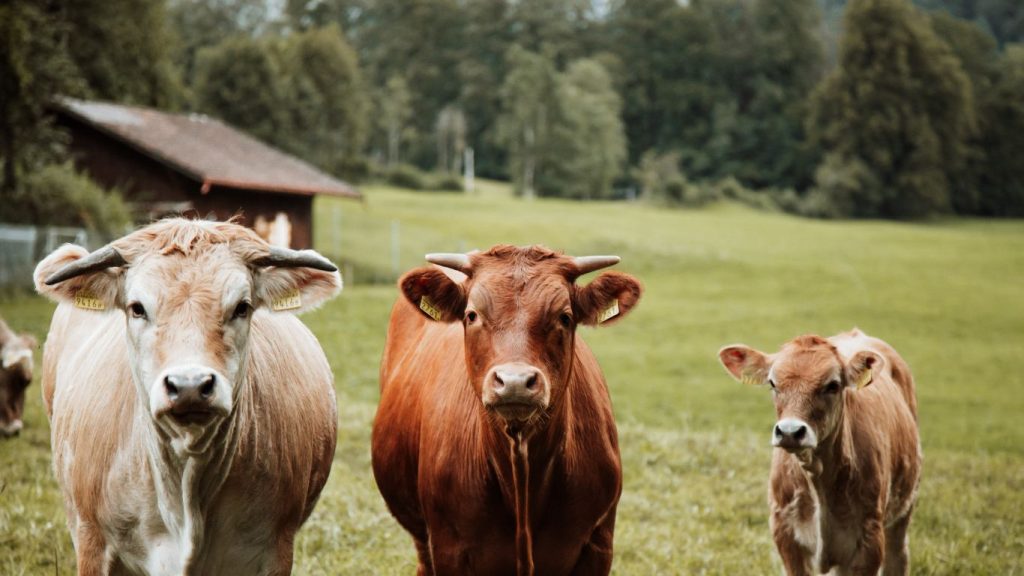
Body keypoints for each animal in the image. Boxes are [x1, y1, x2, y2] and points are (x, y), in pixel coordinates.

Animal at [718, 329, 922, 576]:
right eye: (773, 384)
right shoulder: (785, 533)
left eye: (832, 385)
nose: (790, 431)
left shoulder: (870, 540)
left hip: (903, 511)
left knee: (898, 556)